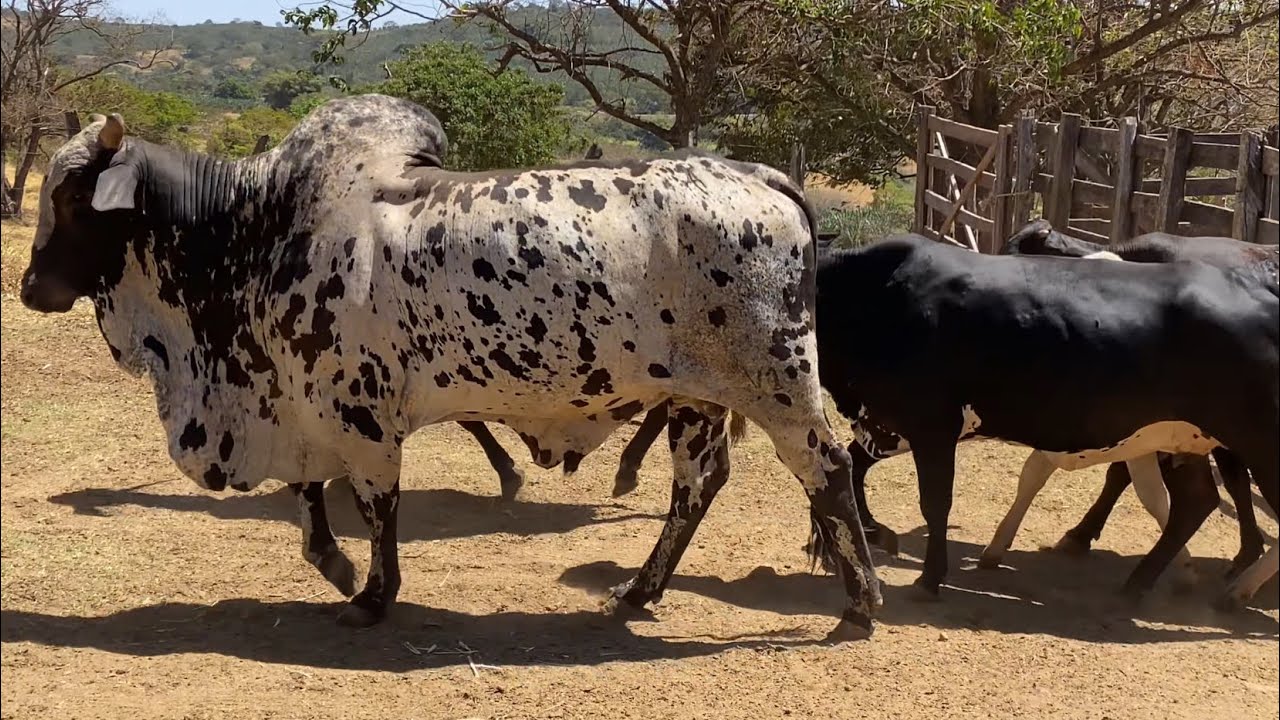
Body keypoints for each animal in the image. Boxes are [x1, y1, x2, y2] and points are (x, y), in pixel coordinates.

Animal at [19, 95, 882, 639]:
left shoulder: (357, 411)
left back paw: (861, 605)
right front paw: (333, 565)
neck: (251, 229)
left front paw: (372, 594)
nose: (30, 289)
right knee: (697, 486)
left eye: (71, 198)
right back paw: (640, 589)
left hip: (776, 383)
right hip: (699, 397)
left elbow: (377, 507)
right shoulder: (303, 401)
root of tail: (761, 175)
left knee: (829, 470)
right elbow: (309, 497)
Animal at [809, 234, 1278, 609]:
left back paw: (1238, 590)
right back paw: (1140, 582)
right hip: (1183, 439)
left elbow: (935, 502)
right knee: (1195, 503)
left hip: (1256, 445)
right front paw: (873, 532)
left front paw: (928, 577)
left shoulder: (931, 426)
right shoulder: (887, 422)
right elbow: (852, 467)